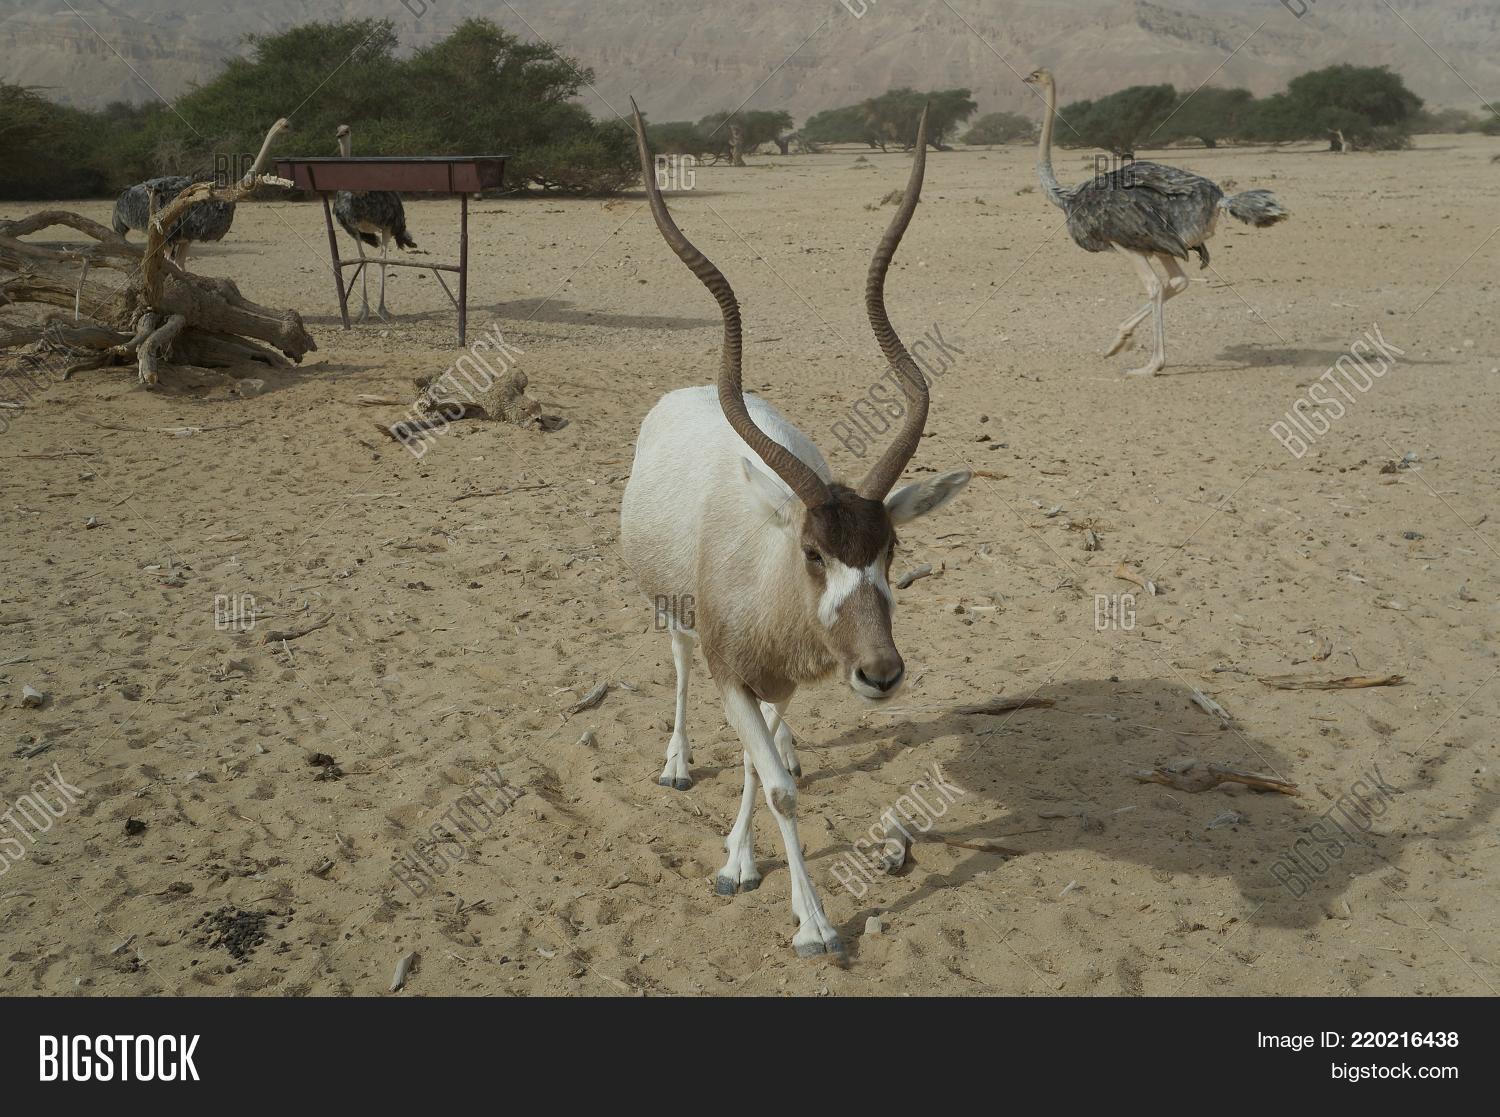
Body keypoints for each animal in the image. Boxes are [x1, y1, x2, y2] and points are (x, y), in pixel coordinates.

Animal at [620, 102, 970, 959]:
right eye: (813, 552)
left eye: (891, 549)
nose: (881, 673)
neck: (768, 567)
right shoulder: (730, 671)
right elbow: (773, 786)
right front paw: (809, 920)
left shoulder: (780, 679)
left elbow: (763, 769)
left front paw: (742, 856)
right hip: (672, 612)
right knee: (677, 665)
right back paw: (677, 763)